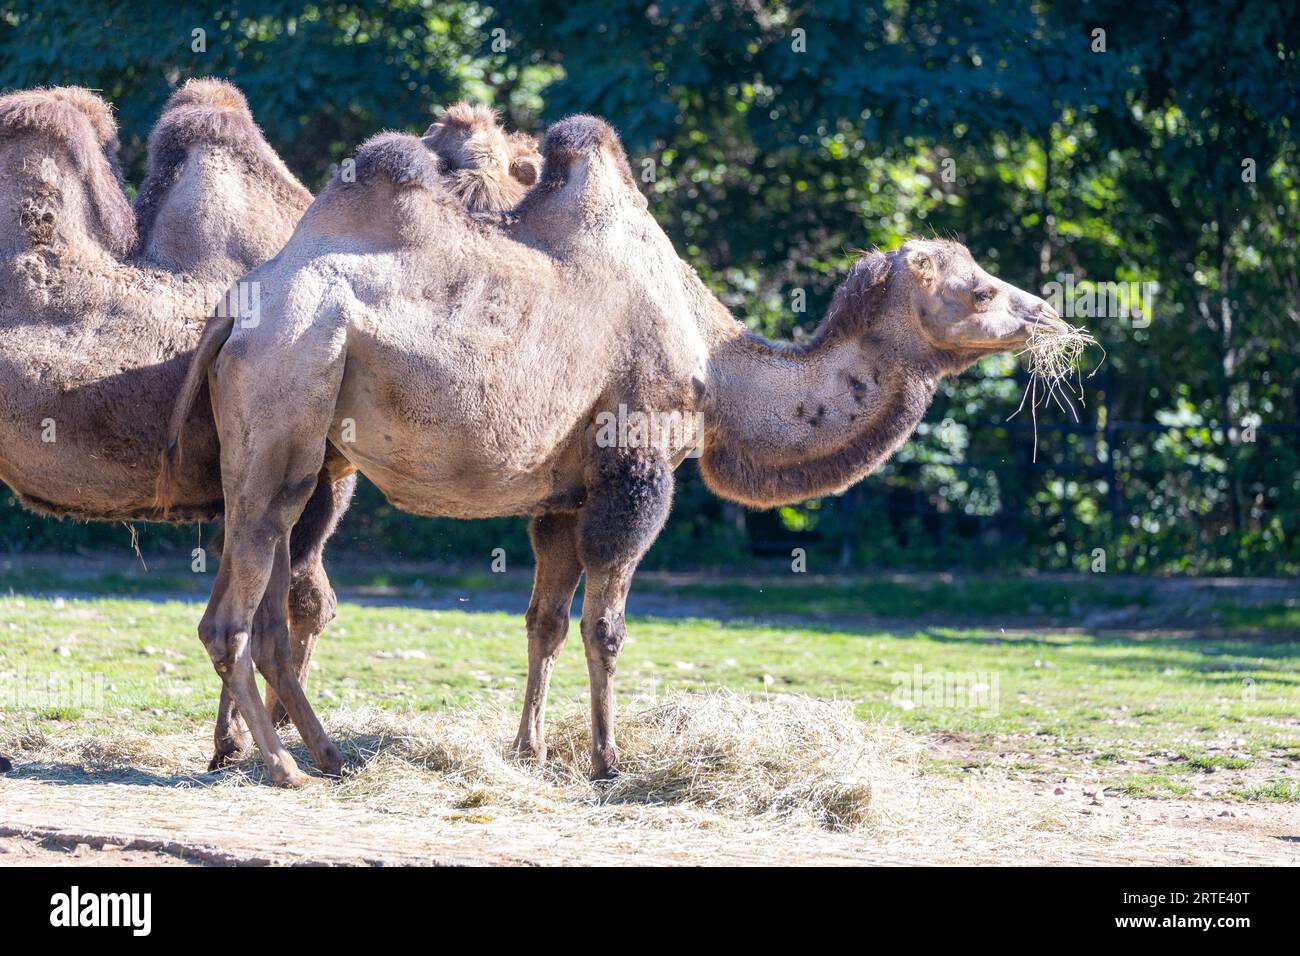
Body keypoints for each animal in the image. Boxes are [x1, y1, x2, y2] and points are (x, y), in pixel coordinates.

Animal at [160, 114, 1079, 787]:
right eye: (979, 290)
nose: (1051, 317)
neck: (716, 367)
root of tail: (237, 310)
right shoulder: (634, 469)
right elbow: (604, 626)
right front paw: (608, 761)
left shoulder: (564, 493)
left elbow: (543, 621)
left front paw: (530, 751)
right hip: (289, 390)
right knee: (229, 614)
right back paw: (281, 766)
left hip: (307, 449)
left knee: (270, 605)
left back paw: (313, 754)